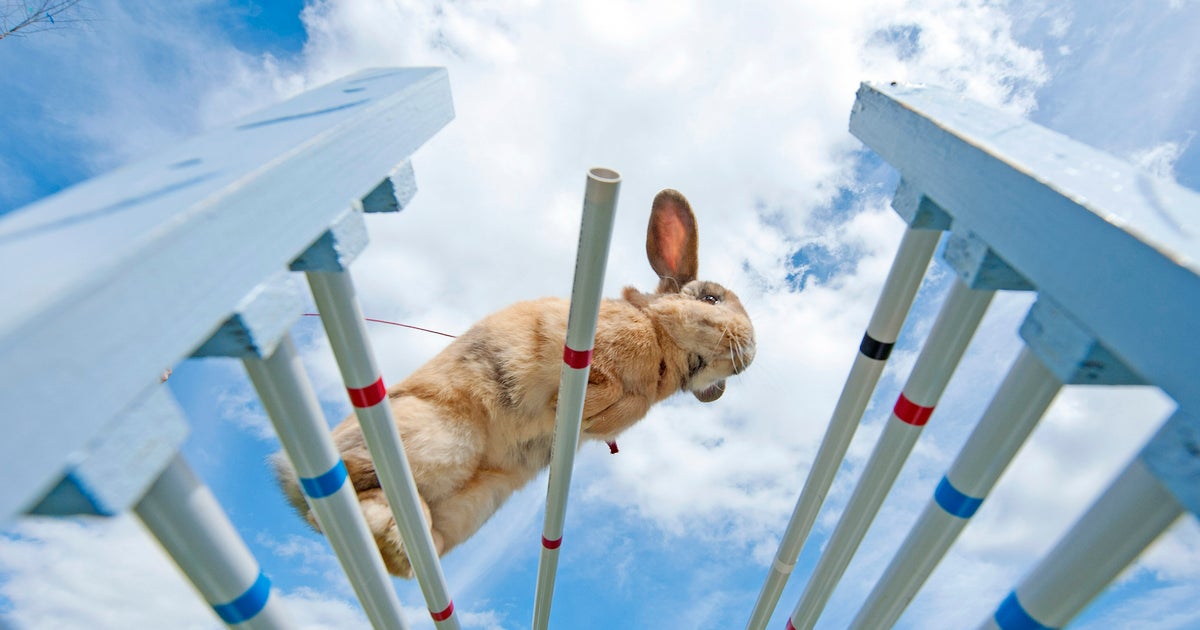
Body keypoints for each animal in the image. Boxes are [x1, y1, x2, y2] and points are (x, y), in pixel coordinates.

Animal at [274, 189, 755, 577]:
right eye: (711, 297)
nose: (751, 350)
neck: (658, 338)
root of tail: (284, 474)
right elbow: (602, 387)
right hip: (437, 441)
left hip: (475, 504)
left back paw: (405, 539)